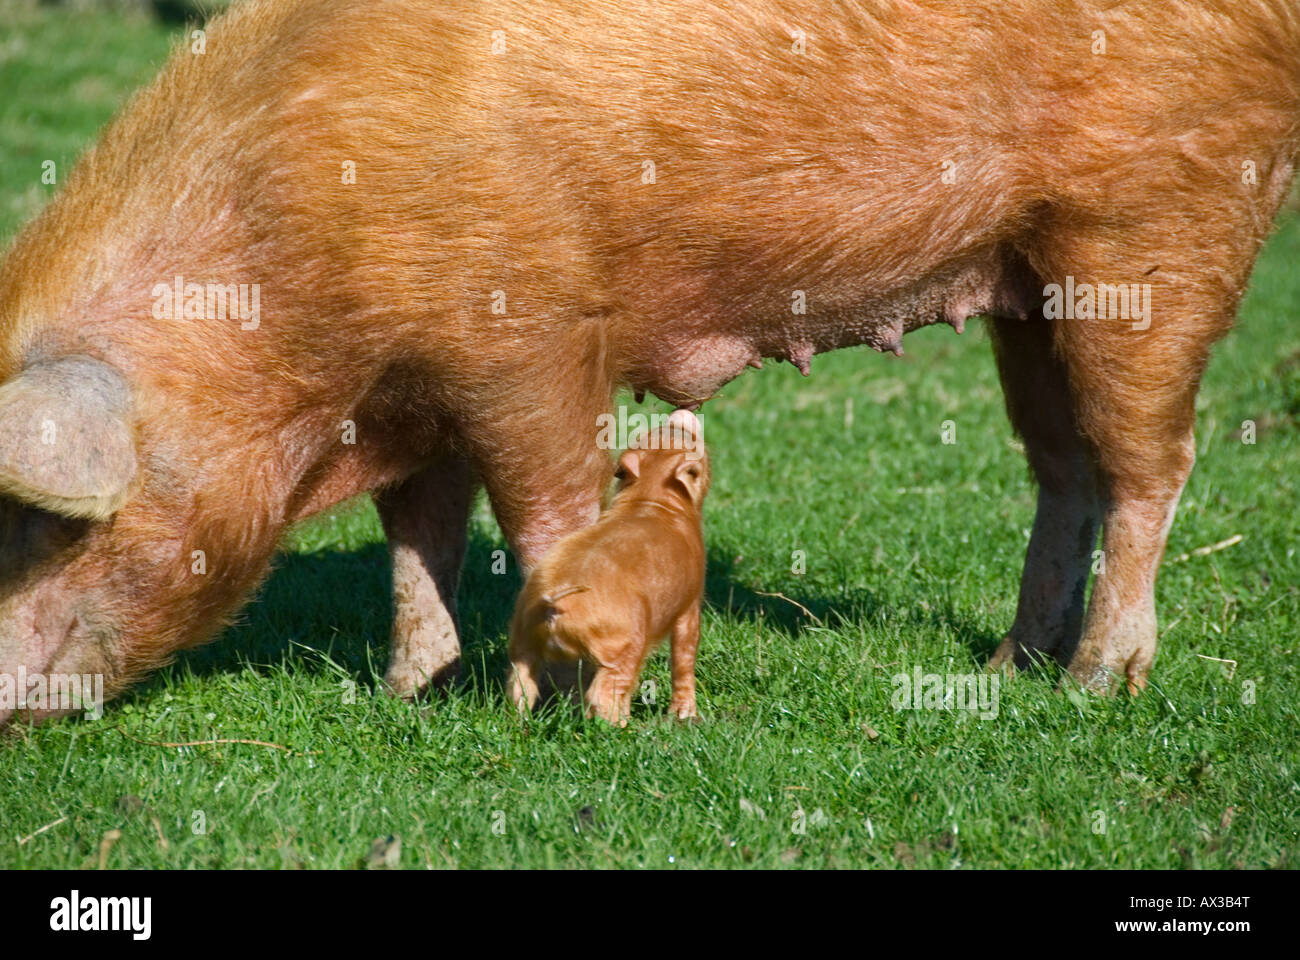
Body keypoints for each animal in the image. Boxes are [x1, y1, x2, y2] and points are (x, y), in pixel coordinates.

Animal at [0, 0, 1297, 727]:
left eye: (44, 526)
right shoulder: (422, 383)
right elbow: (417, 534)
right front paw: (413, 688)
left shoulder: (530, 336)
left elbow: (547, 509)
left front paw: (543, 691)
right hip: (1024, 274)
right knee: (1063, 463)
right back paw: (1009, 660)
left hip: (1150, 232)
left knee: (1150, 460)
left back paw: (1092, 685)